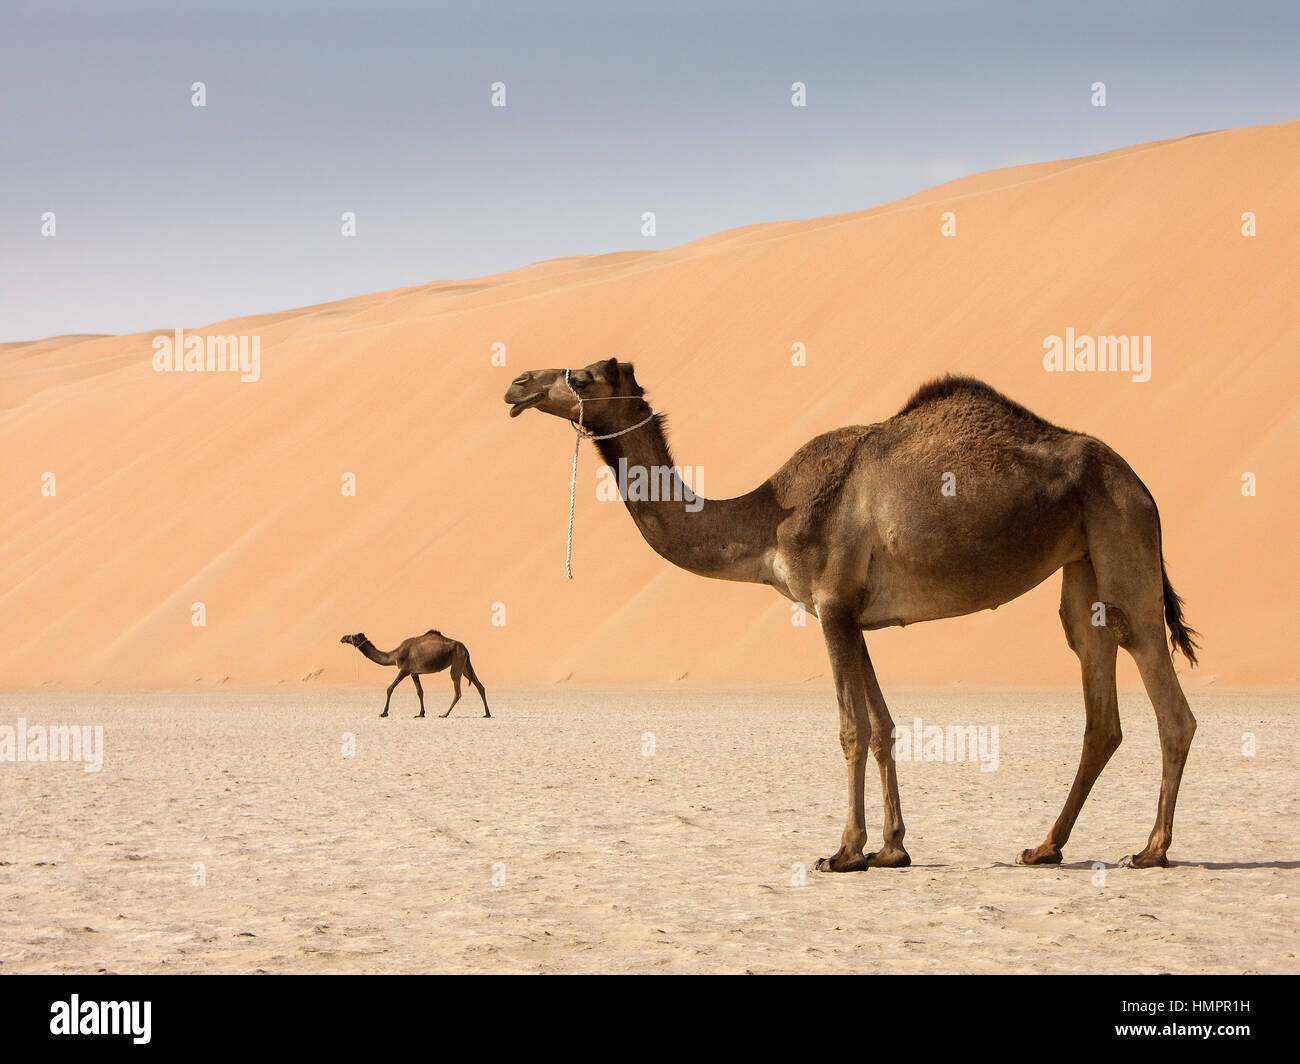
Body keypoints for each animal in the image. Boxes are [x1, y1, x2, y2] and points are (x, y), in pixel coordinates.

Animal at [340, 630, 490, 719]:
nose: (342, 637)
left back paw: (444, 714)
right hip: (465, 665)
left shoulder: (405, 670)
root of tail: (466, 648)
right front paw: (421, 714)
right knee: (479, 685)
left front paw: (384, 713)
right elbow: (420, 691)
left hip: (457, 662)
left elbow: (390, 688)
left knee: (457, 690)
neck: (395, 655)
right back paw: (487, 714)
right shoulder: (414, 673)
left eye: (354, 636)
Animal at [505, 359, 1200, 870]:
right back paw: (1045, 847)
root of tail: (1142, 485)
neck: (770, 517)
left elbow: (850, 729)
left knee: (1164, 691)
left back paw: (1151, 850)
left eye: (582, 376)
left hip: (1122, 534)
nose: (516, 384)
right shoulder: (853, 615)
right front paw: (892, 849)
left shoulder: (831, 606)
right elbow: (884, 726)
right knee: (1097, 687)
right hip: (1083, 561)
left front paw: (844, 852)